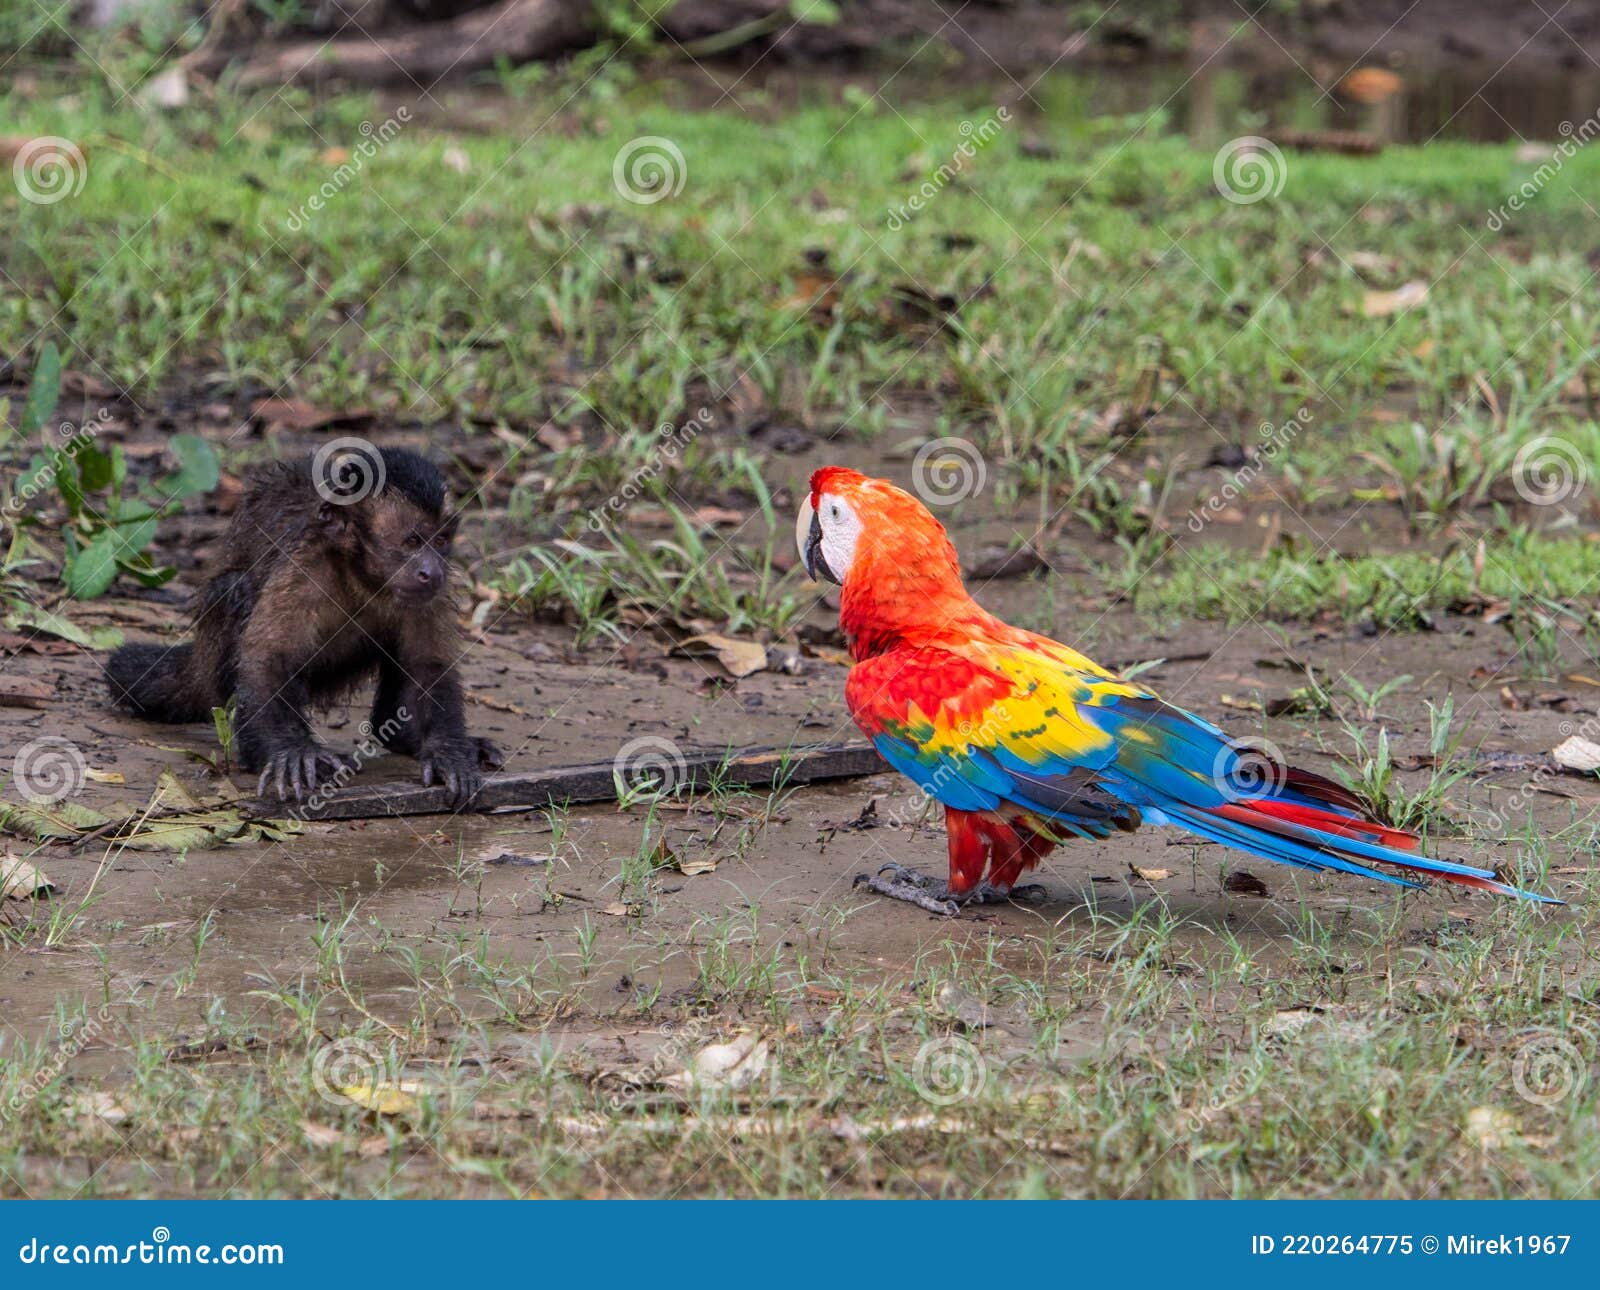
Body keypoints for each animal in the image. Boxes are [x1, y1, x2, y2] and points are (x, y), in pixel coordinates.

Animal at [104, 445, 502, 806]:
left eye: (441, 541)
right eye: (412, 541)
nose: (431, 570)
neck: (359, 575)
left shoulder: (428, 591)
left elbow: (429, 665)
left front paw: (448, 751)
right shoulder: (305, 565)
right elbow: (270, 657)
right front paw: (293, 751)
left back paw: (402, 736)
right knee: (237, 592)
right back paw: (256, 751)